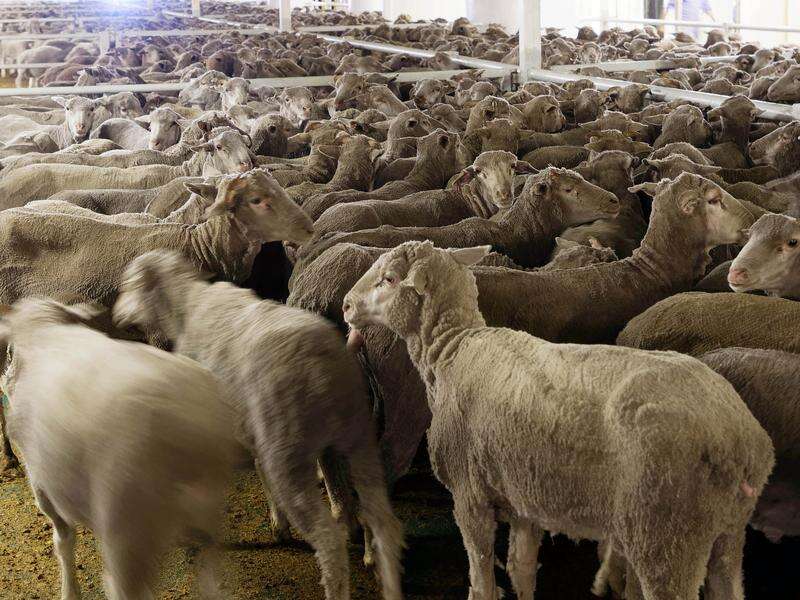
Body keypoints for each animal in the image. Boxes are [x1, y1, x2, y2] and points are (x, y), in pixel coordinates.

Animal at [1, 297, 238, 599]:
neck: (45, 330)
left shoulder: (42, 481)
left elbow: (63, 539)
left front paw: (69, 591)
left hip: (123, 524)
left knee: (121, 584)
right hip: (204, 509)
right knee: (209, 575)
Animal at [112, 250, 404, 600]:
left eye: (128, 284)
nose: (115, 316)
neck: (186, 305)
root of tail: (327, 364)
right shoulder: (251, 426)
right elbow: (258, 467)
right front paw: (278, 522)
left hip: (288, 452)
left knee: (329, 540)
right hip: (358, 439)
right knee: (378, 516)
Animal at [341, 240, 773, 600]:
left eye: (389, 279)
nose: (346, 306)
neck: (452, 350)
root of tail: (739, 439)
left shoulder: (470, 496)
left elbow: (482, 583)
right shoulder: (523, 499)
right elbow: (521, 569)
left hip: (666, 536)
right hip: (726, 533)